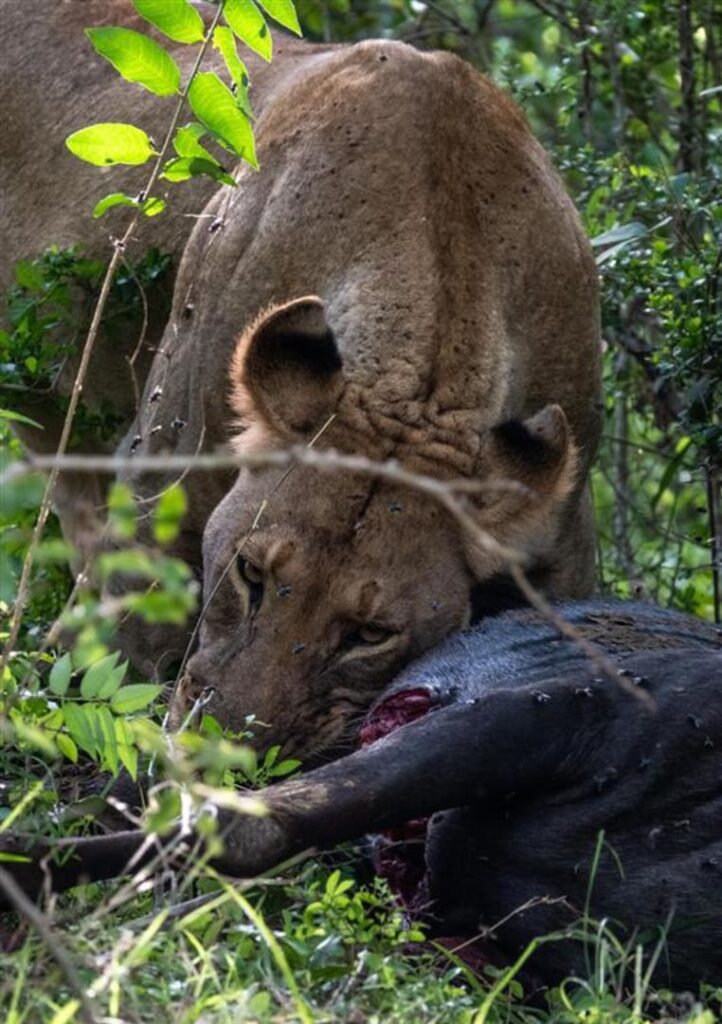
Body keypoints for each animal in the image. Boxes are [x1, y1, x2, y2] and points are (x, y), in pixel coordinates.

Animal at [2, 3, 602, 759]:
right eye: (250, 575)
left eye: (370, 634)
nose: (231, 747)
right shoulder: (157, 479)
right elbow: (131, 655)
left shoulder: (563, 546)